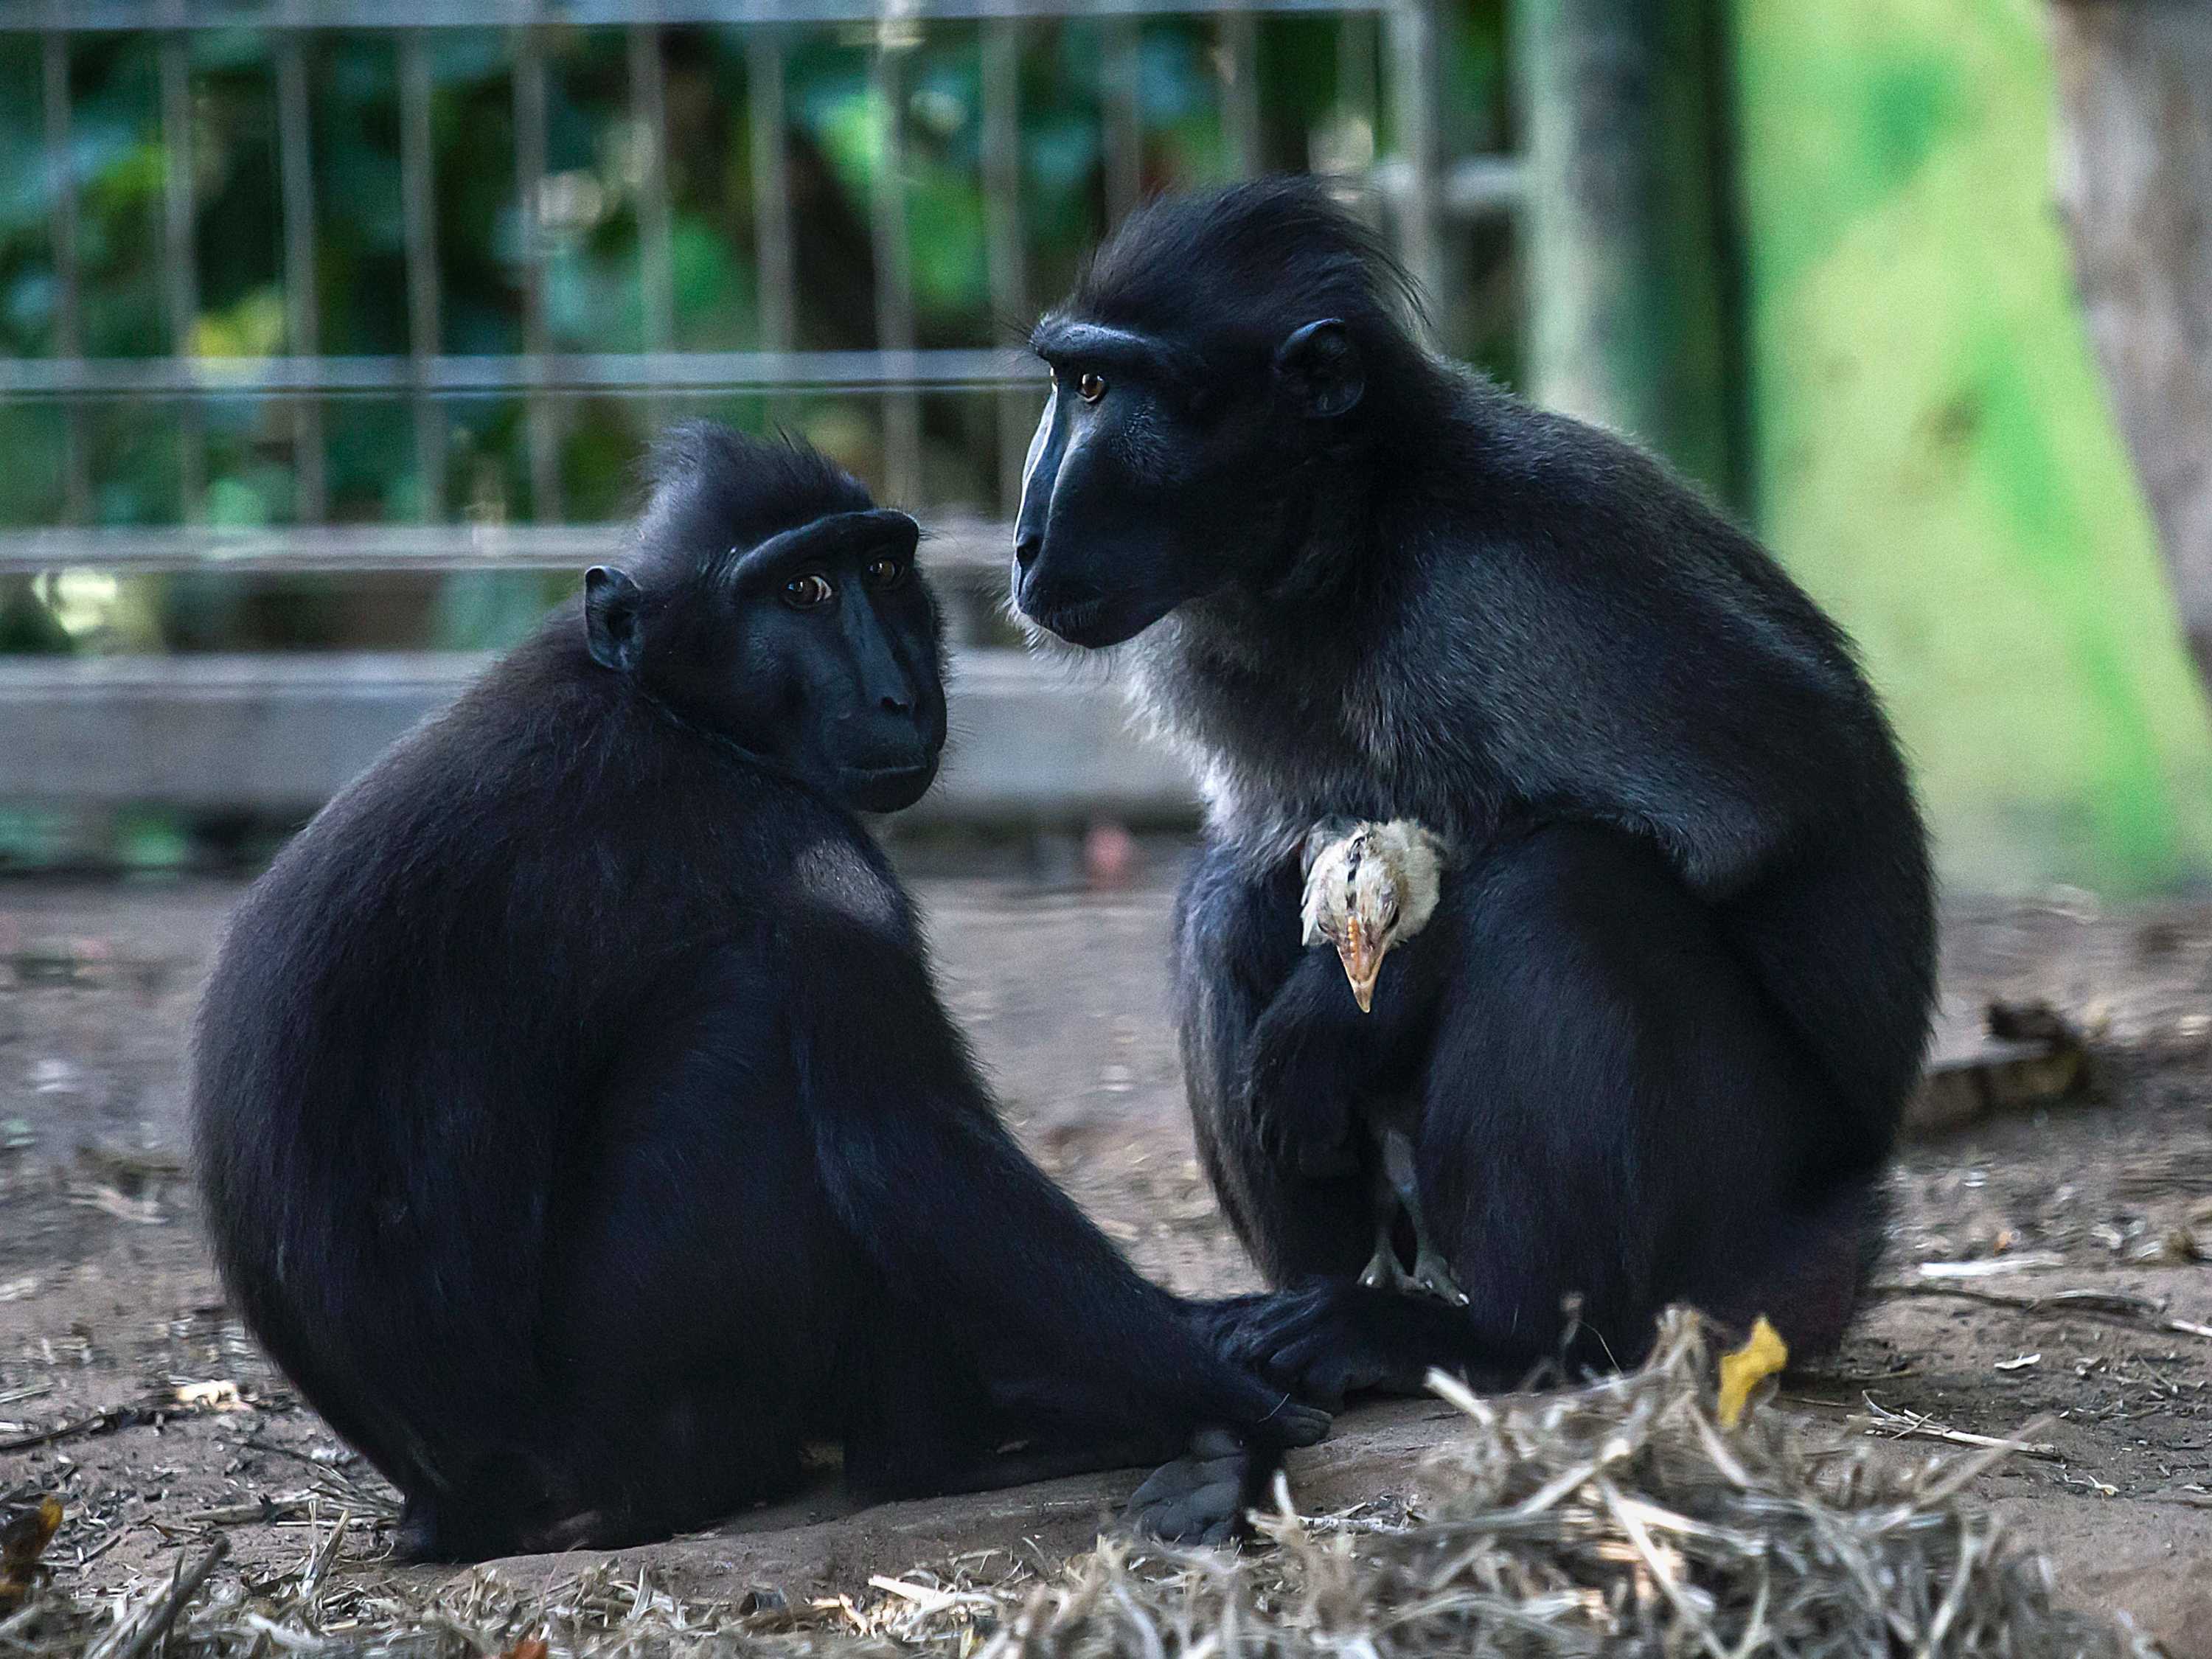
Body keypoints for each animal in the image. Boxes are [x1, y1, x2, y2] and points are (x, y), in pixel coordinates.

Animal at [191, 424, 1326, 1562]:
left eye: (881, 570)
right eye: (803, 591)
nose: (898, 692)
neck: (671, 706)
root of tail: (452, 1507)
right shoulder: (808, 861)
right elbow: (907, 1158)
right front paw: (1244, 1402)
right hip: (643, 1406)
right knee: (762, 1020)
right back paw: (957, 1454)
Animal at [1010, 178, 1936, 1403]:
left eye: (1099, 389)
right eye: (1069, 381)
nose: (1022, 543)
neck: (1350, 540)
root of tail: (1831, 1218)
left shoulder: (1522, 574)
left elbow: (1777, 805)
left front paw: (1346, 1013)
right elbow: (1276, 854)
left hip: (1737, 1229)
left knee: (1561, 888)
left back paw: (1490, 1340)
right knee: (1226, 898)